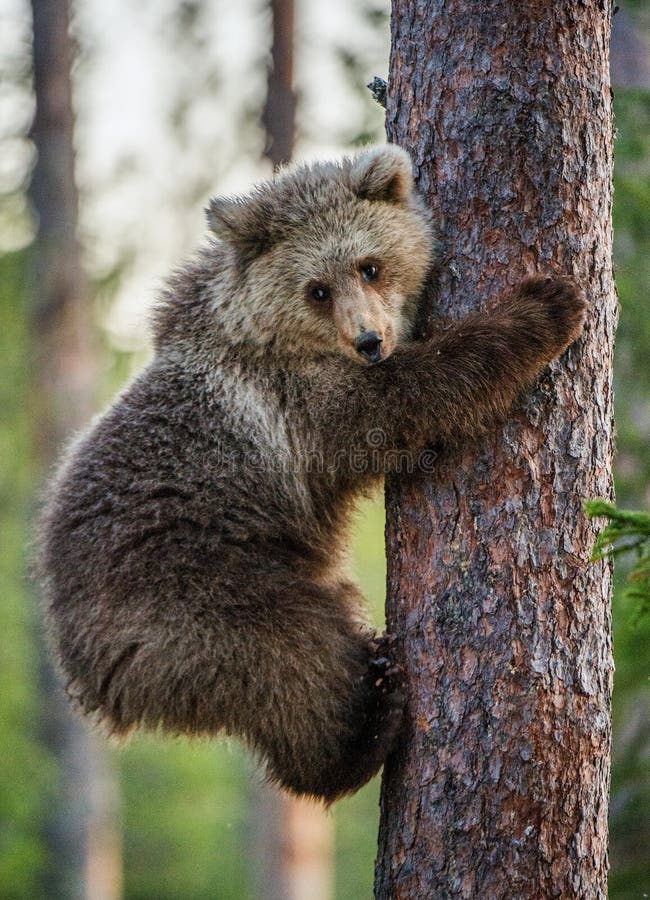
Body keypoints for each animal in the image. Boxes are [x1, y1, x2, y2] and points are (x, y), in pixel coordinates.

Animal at [37, 145, 586, 802]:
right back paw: (366, 726)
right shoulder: (299, 406)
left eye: (370, 266)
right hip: (184, 589)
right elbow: (409, 398)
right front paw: (548, 304)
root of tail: (82, 668)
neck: (271, 336)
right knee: (290, 652)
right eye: (317, 289)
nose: (370, 340)